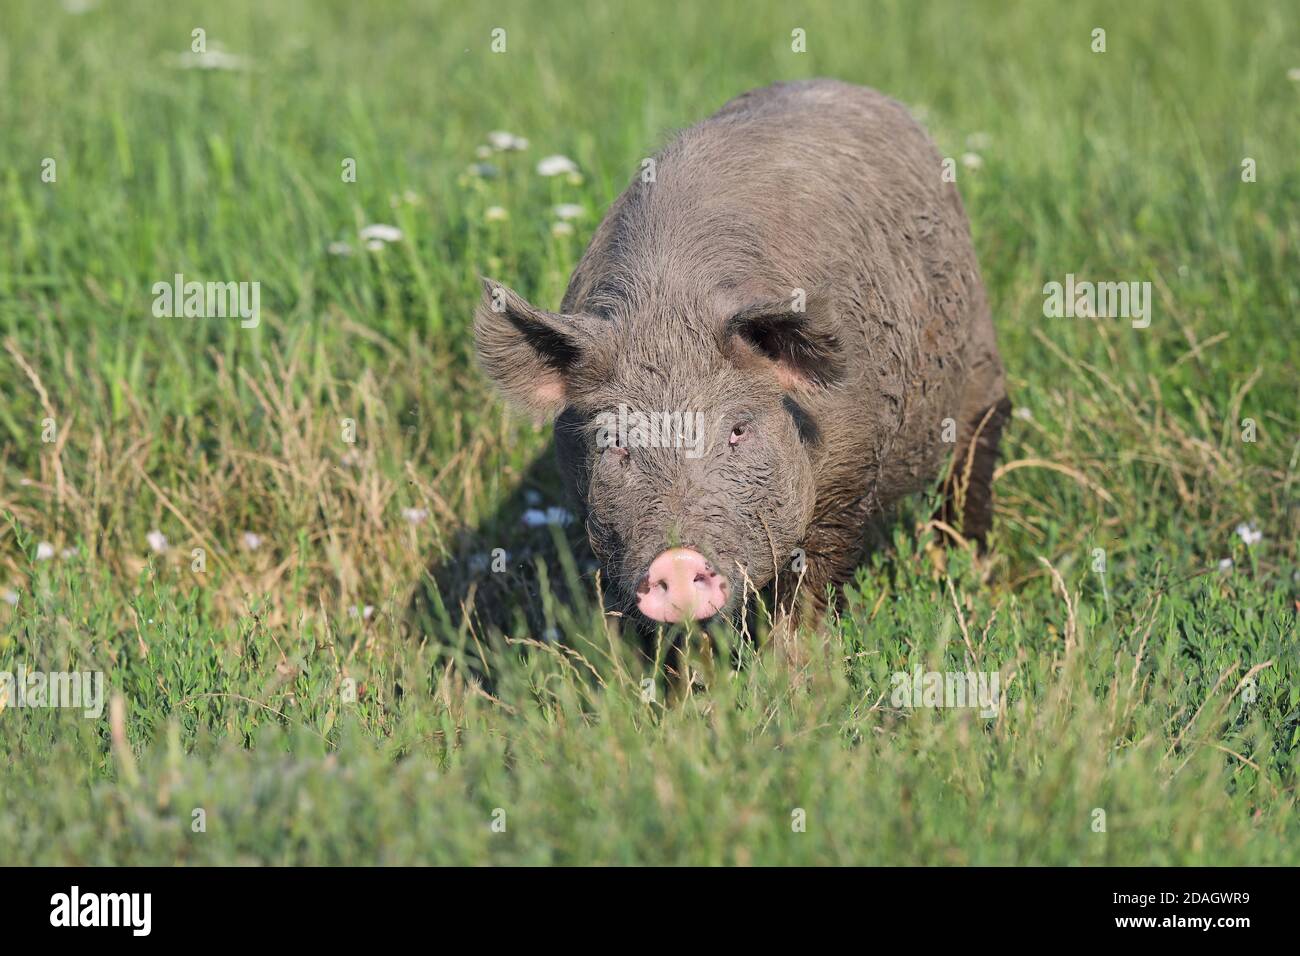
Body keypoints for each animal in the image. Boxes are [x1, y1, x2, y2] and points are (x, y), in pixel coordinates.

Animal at [475, 79, 1009, 637]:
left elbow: (810, 589)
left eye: (738, 430)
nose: (677, 561)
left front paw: (800, 659)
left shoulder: (849, 471)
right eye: (614, 441)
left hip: (980, 356)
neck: (670, 307)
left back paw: (972, 576)